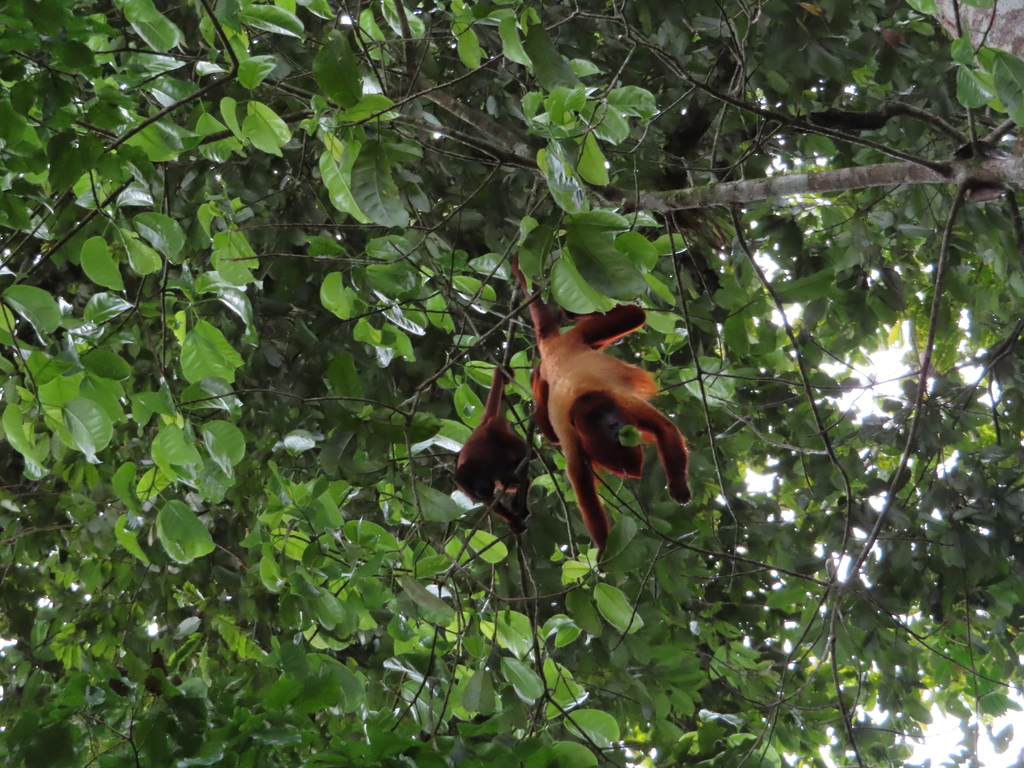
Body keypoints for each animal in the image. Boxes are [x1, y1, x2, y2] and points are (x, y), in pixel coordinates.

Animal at [455, 366, 531, 534]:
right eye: (470, 490)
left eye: (475, 481)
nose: (479, 491)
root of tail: (482, 424)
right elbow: (491, 503)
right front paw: (514, 521)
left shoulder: (488, 463)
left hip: (496, 424)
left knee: (503, 436)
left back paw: (529, 454)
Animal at [510, 255, 691, 552]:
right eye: (600, 422)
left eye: (610, 415)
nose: (615, 424)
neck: (582, 399)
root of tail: (553, 348)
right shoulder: (573, 444)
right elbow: (586, 496)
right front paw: (606, 550)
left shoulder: (624, 405)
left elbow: (664, 428)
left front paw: (678, 486)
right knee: (548, 421)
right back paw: (537, 378)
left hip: (577, 337)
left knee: (633, 316)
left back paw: (570, 314)